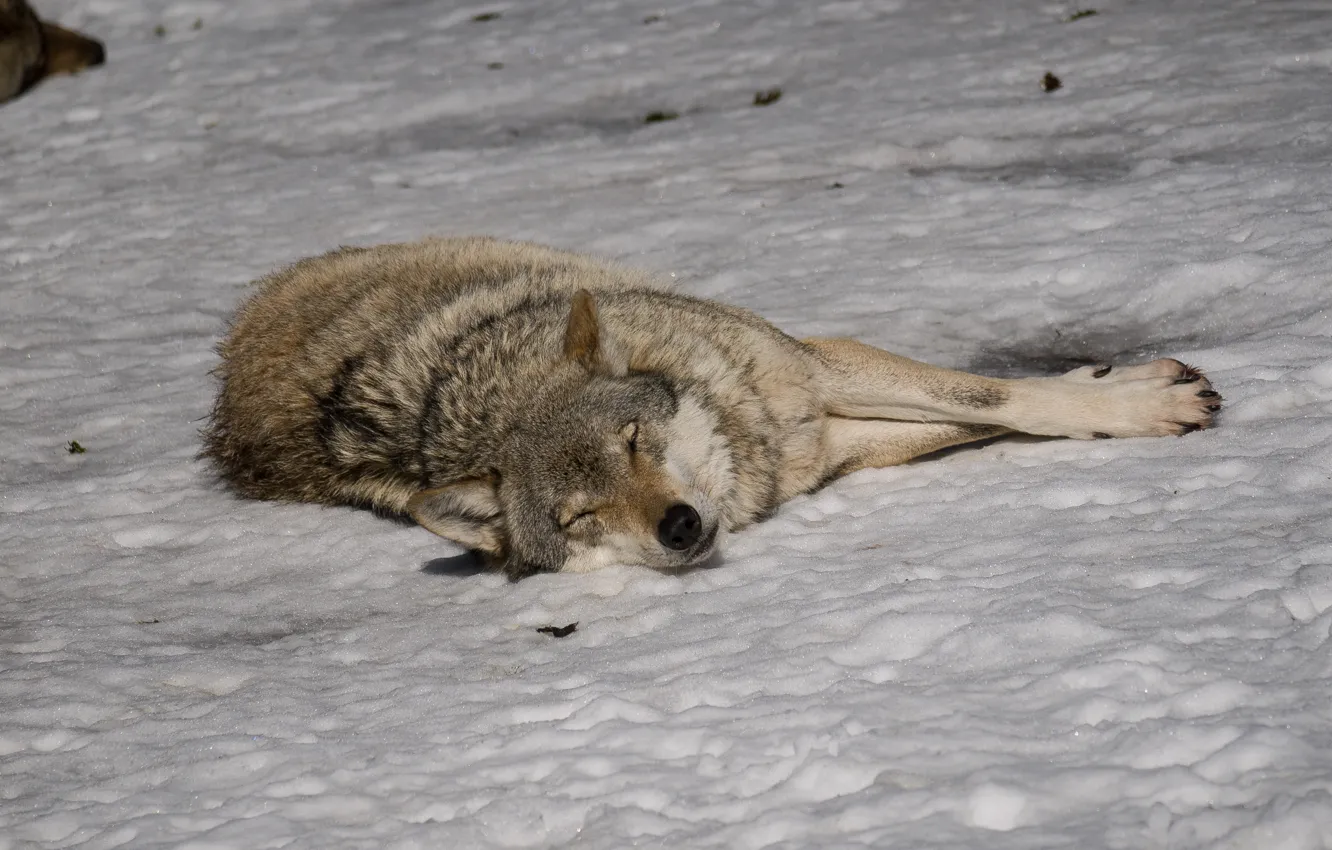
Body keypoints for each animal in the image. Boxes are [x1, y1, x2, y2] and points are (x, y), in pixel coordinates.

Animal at [204, 237, 1221, 579]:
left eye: (634, 439)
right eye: (581, 516)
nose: (681, 527)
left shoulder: (813, 378)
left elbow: (1000, 397)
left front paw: (1130, 397)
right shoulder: (823, 432)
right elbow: (988, 413)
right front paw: (1136, 399)